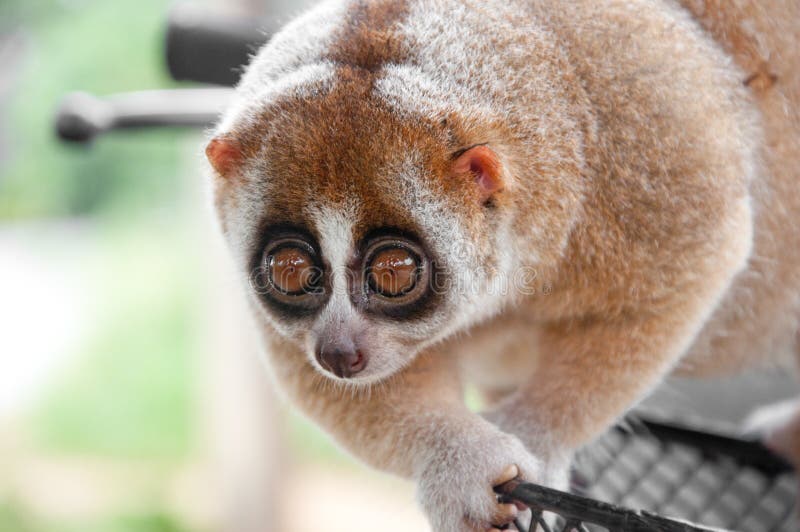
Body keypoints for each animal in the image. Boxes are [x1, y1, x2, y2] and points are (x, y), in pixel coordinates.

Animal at [205, 1, 800, 530]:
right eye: (289, 271)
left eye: (395, 272)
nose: (338, 352)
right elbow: (313, 371)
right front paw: (459, 462)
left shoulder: (651, 161)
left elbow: (682, 278)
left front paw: (536, 435)